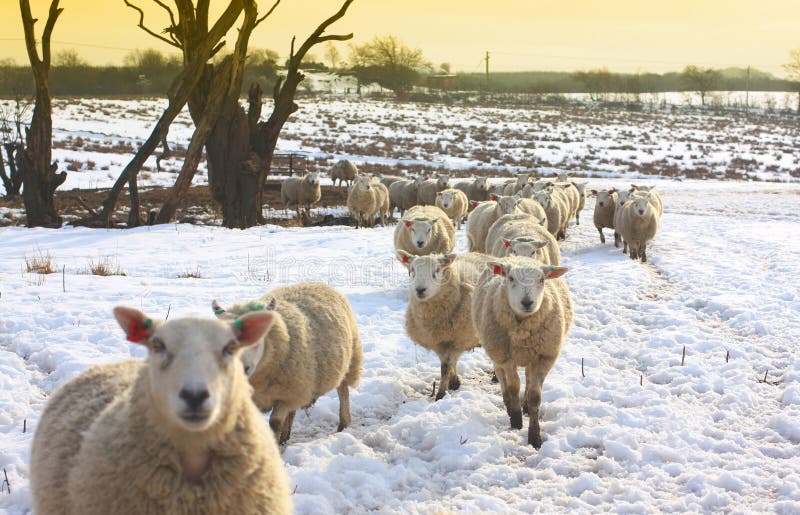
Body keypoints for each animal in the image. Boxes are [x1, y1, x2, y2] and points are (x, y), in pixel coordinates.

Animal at [212, 282, 362, 443]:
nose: (242, 368)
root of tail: (317, 283)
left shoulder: (285, 396)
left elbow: (275, 423)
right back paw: (286, 435)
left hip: (349, 361)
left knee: (343, 392)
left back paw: (343, 424)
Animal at [396, 251, 489, 400]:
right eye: (411, 271)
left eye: (437, 270)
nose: (420, 290)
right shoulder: (438, 341)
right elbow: (447, 364)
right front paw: (453, 382)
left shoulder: (459, 339)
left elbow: (446, 366)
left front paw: (440, 394)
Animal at [471, 256, 573, 448]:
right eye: (510, 278)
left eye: (541, 280)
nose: (527, 302)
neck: (523, 335)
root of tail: (516, 256)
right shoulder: (507, 358)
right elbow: (513, 387)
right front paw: (516, 420)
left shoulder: (543, 358)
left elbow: (535, 396)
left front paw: (535, 436)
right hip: (496, 350)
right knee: (501, 376)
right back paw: (509, 404)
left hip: (530, 356)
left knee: (527, 376)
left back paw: (524, 405)